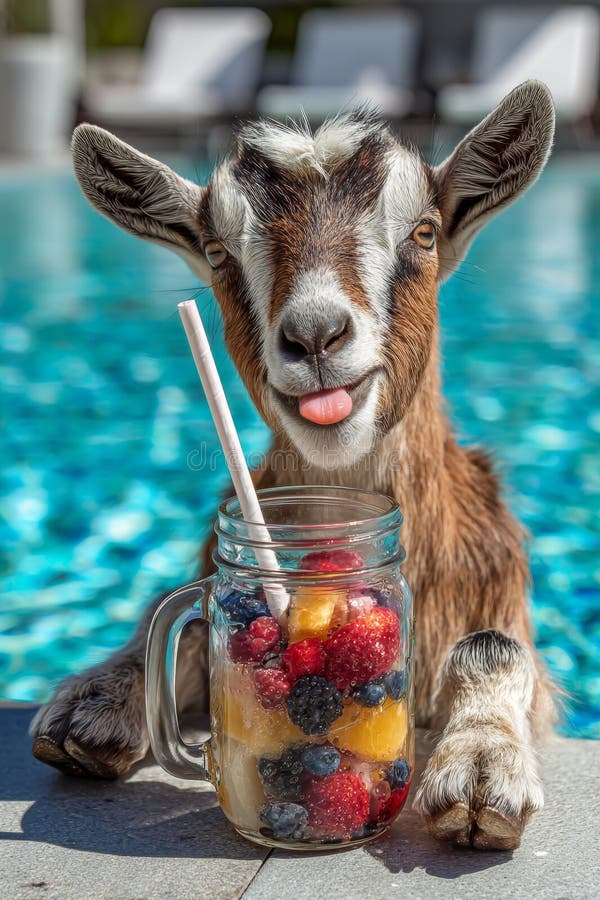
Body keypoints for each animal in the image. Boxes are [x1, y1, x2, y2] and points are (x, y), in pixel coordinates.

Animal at [31, 80, 556, 850]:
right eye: (217, 250)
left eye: (425, 232)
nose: (314, 335)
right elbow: (182, 623)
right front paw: (95, 698)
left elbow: (493, 645)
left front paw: (482, 763)